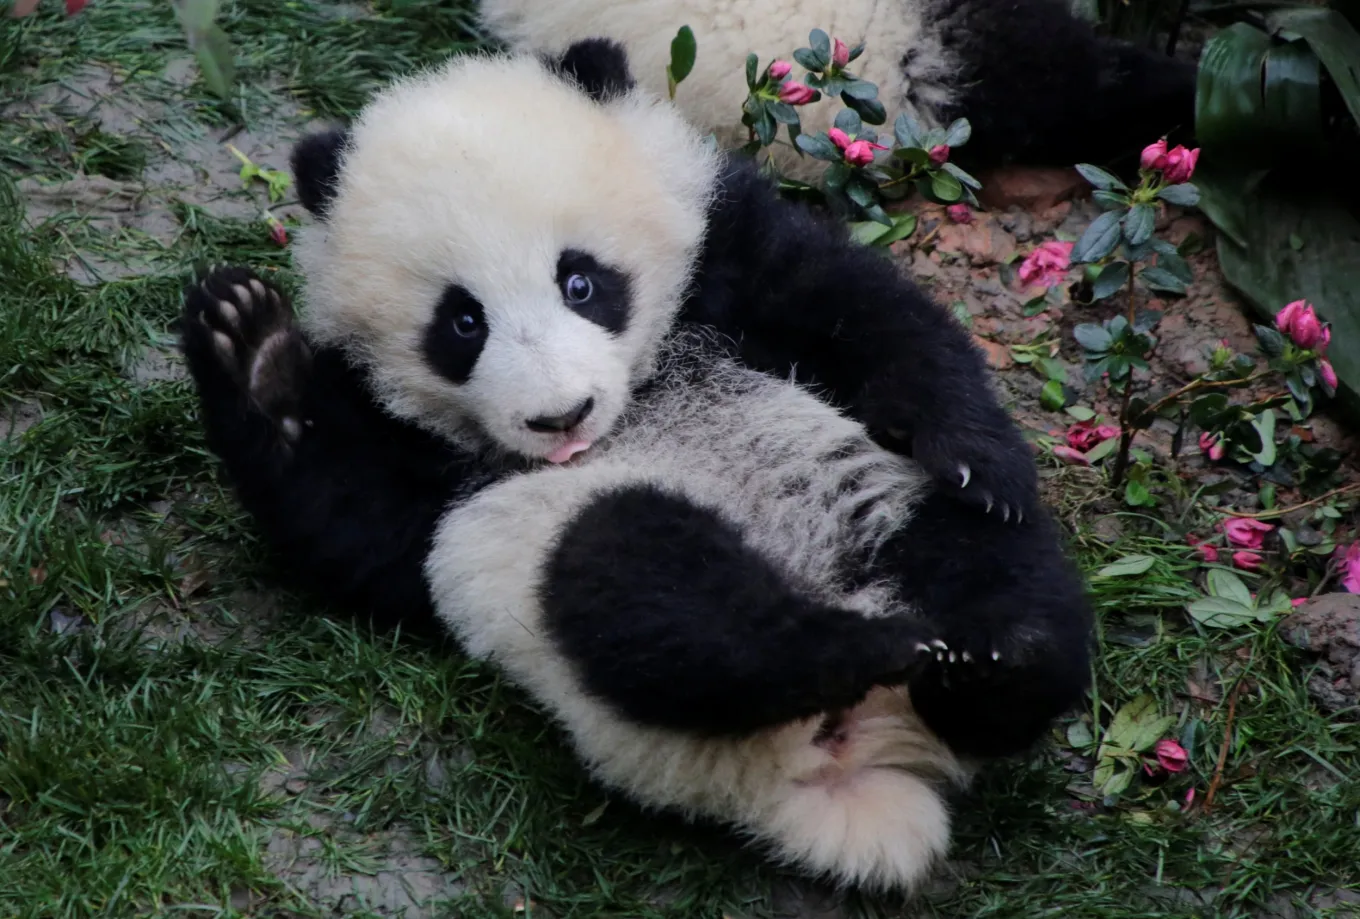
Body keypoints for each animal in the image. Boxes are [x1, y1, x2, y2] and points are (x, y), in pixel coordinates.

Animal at [180, 42, 1092, 892]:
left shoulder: (721, 243)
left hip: (877, 513)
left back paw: (992, 666)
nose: (560, 417)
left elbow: (867, 315)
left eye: (580, 280)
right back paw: (854, 648)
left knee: (995, 568)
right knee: (644, 590)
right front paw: (253, 352)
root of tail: (845, 765)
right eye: (462, 322)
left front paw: (978, 460)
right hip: (571, 574)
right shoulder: (429, 467)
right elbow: (351, 516)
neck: (634, 404)